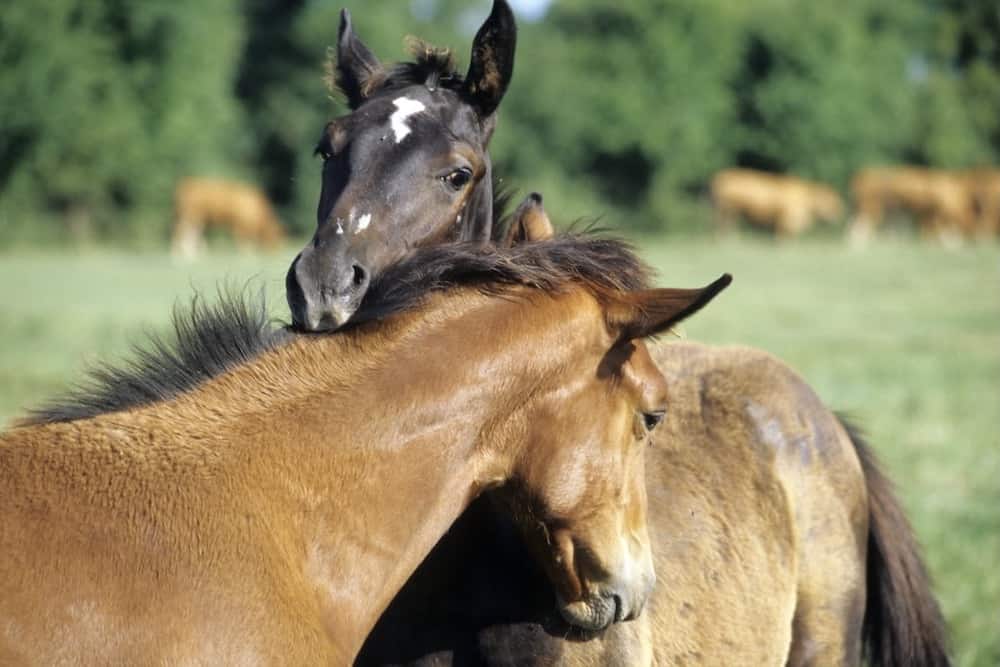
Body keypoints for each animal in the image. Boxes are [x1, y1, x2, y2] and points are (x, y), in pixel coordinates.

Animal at [711, 168, 844, 238]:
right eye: (832, 201)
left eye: (836, 201)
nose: (840, 212)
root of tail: (720, 176)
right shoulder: (785, 221)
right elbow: (782, 238)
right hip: (726, 210)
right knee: (723, 225)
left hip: (731, 212)